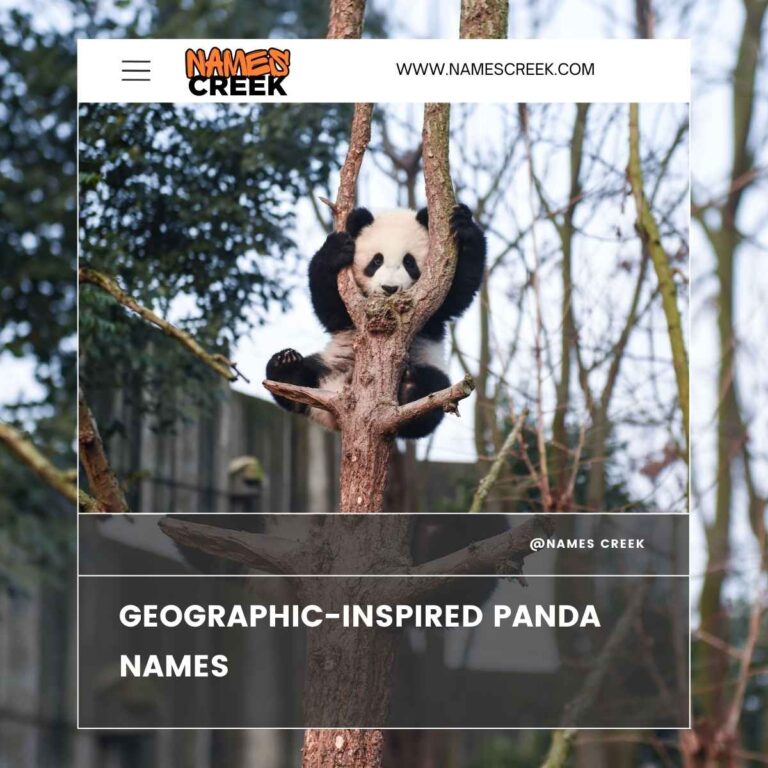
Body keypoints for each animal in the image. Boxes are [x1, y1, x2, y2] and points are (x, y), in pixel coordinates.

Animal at [265, 203, 486, 438]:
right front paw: (335, 250)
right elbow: (328, 307)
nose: (389, 288)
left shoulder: (434, 306)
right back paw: (287, 364)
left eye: (409, 262)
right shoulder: (349, 310)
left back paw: (410, 389)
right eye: (376, 260)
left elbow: (459, 291)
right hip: (328, 365)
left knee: (432, 392)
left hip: (430, 368)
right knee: (292, 379)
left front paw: (463, 224)